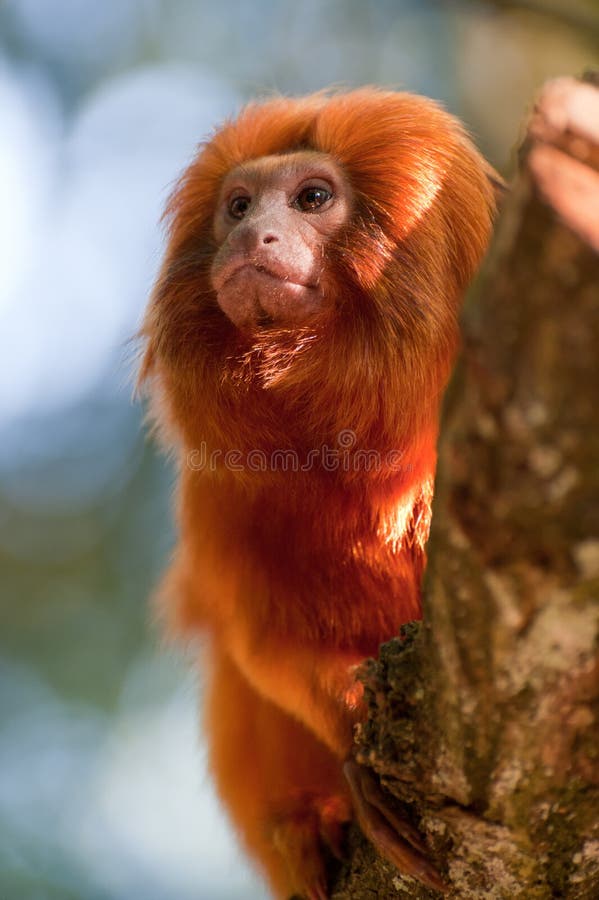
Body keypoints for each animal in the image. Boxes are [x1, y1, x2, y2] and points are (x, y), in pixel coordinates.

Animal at [139, 88, 497, 899]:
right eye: (238, 206)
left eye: (311, 199)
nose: (254, 235)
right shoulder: (221, 487)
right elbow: (260, 639)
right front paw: (353, 731)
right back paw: (308, 829)